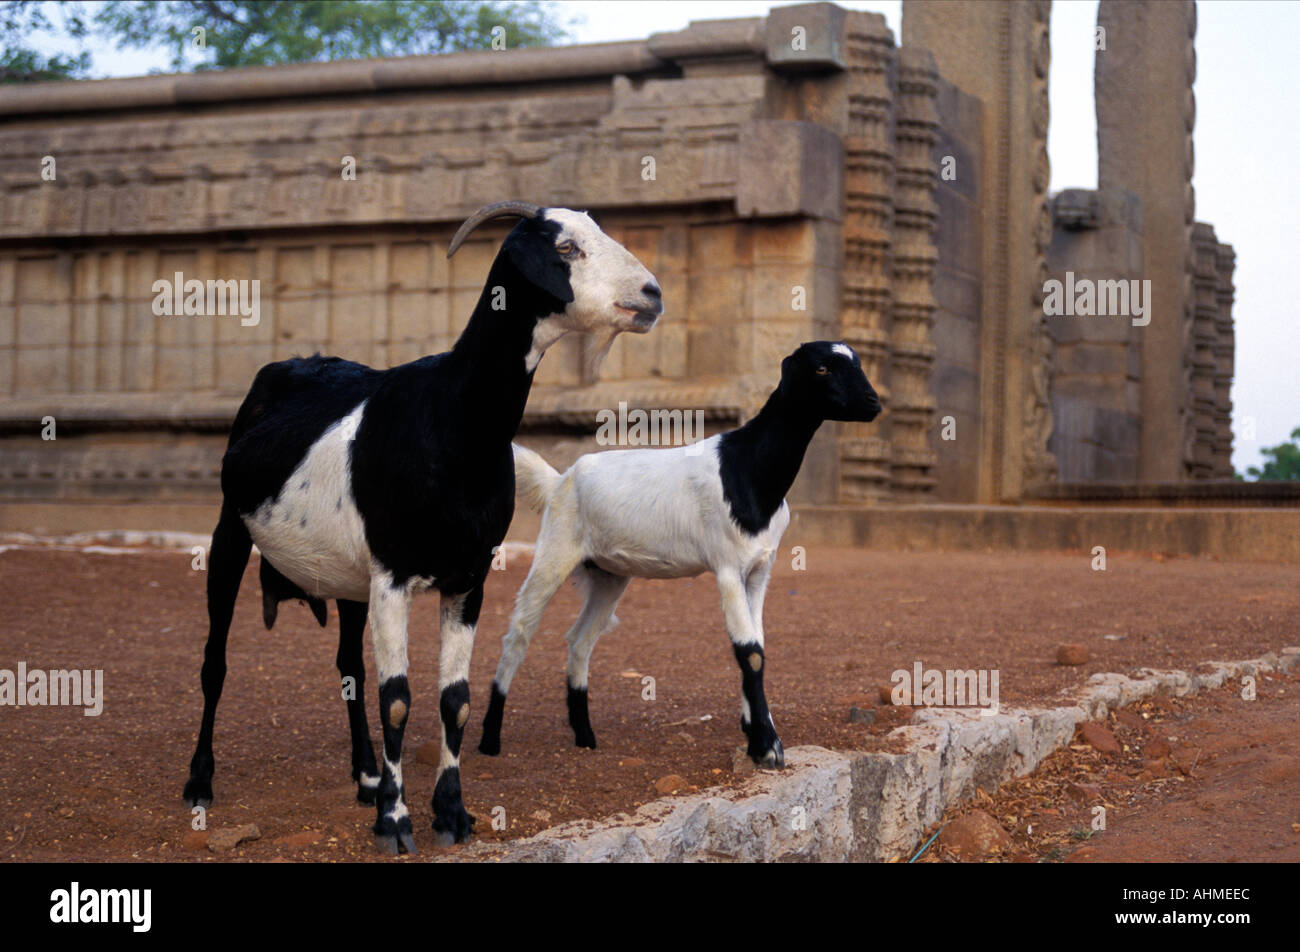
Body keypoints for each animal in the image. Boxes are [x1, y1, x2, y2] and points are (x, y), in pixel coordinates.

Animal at [181, 201, 663, 853]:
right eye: (565, 248)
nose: (652, 294)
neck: (454, 419)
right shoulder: (392, 576)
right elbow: (398, 700)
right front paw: (395, 822)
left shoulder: (468, 579)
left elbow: (453, 700)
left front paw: (451, 815)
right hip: (230, 530)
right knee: (216, 661)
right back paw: (200, 782)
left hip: (348, 576)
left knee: (348, 665)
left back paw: (364, 775)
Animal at [478, 341, 881, 768]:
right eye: (822, 368)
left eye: (856, 362)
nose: (873, 403)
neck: (748, 469)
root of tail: (560, 480)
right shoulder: (727, 566)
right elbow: (749, 651)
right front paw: (766, 747)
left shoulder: (760, 569)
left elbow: (758, 644)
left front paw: (755, 732)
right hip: (554, 549)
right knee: (519, 633)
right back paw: (490, 739)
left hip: (609, 574)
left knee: (580, 640)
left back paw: (585, 736)